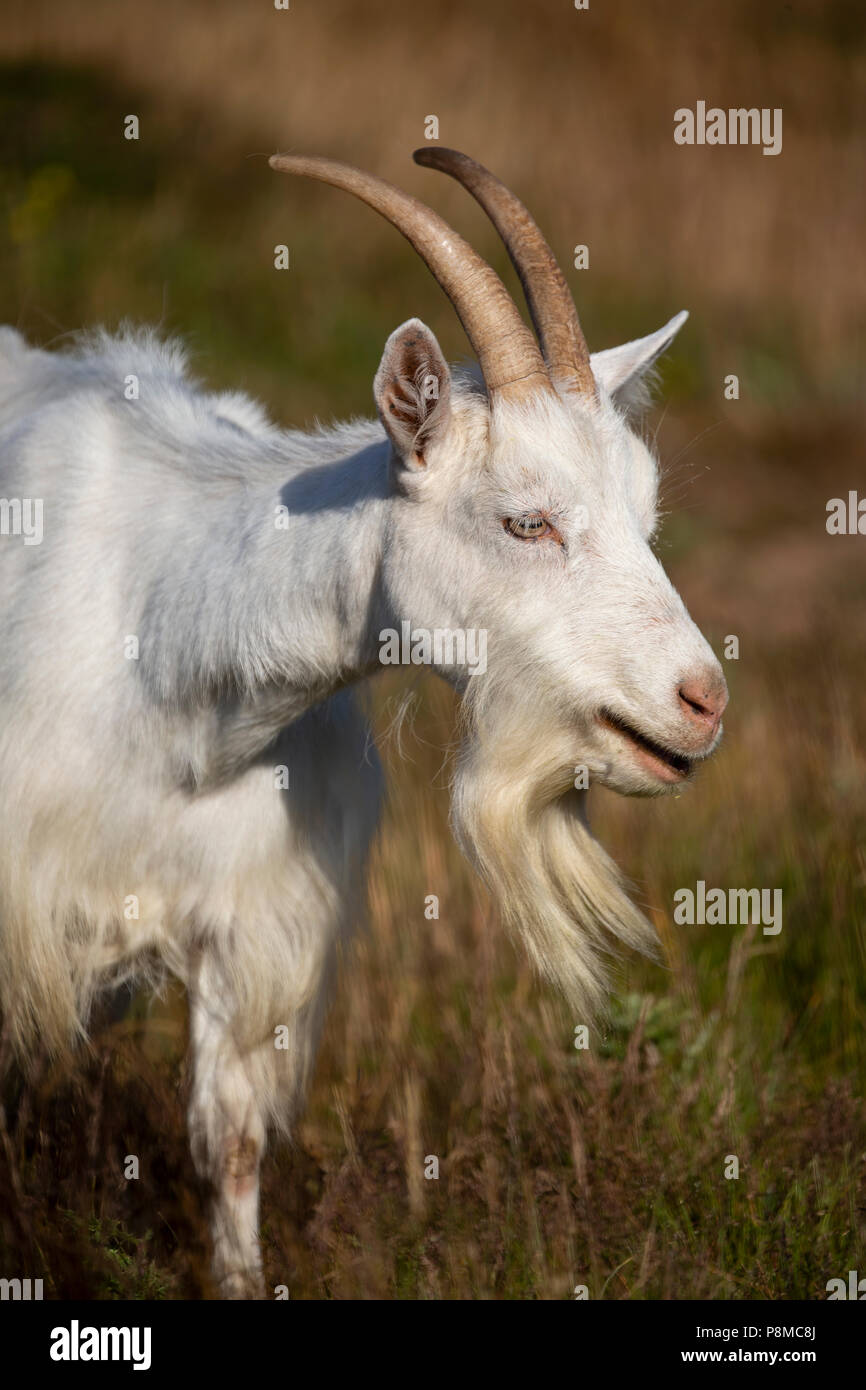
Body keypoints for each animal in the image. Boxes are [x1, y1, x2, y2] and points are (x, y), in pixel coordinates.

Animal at [0, 148, 728, 1297]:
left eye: (644, 515)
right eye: (527, 519)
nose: (700, 700)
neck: (170, 670)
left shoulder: (250, 930)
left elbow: (230, 1145)